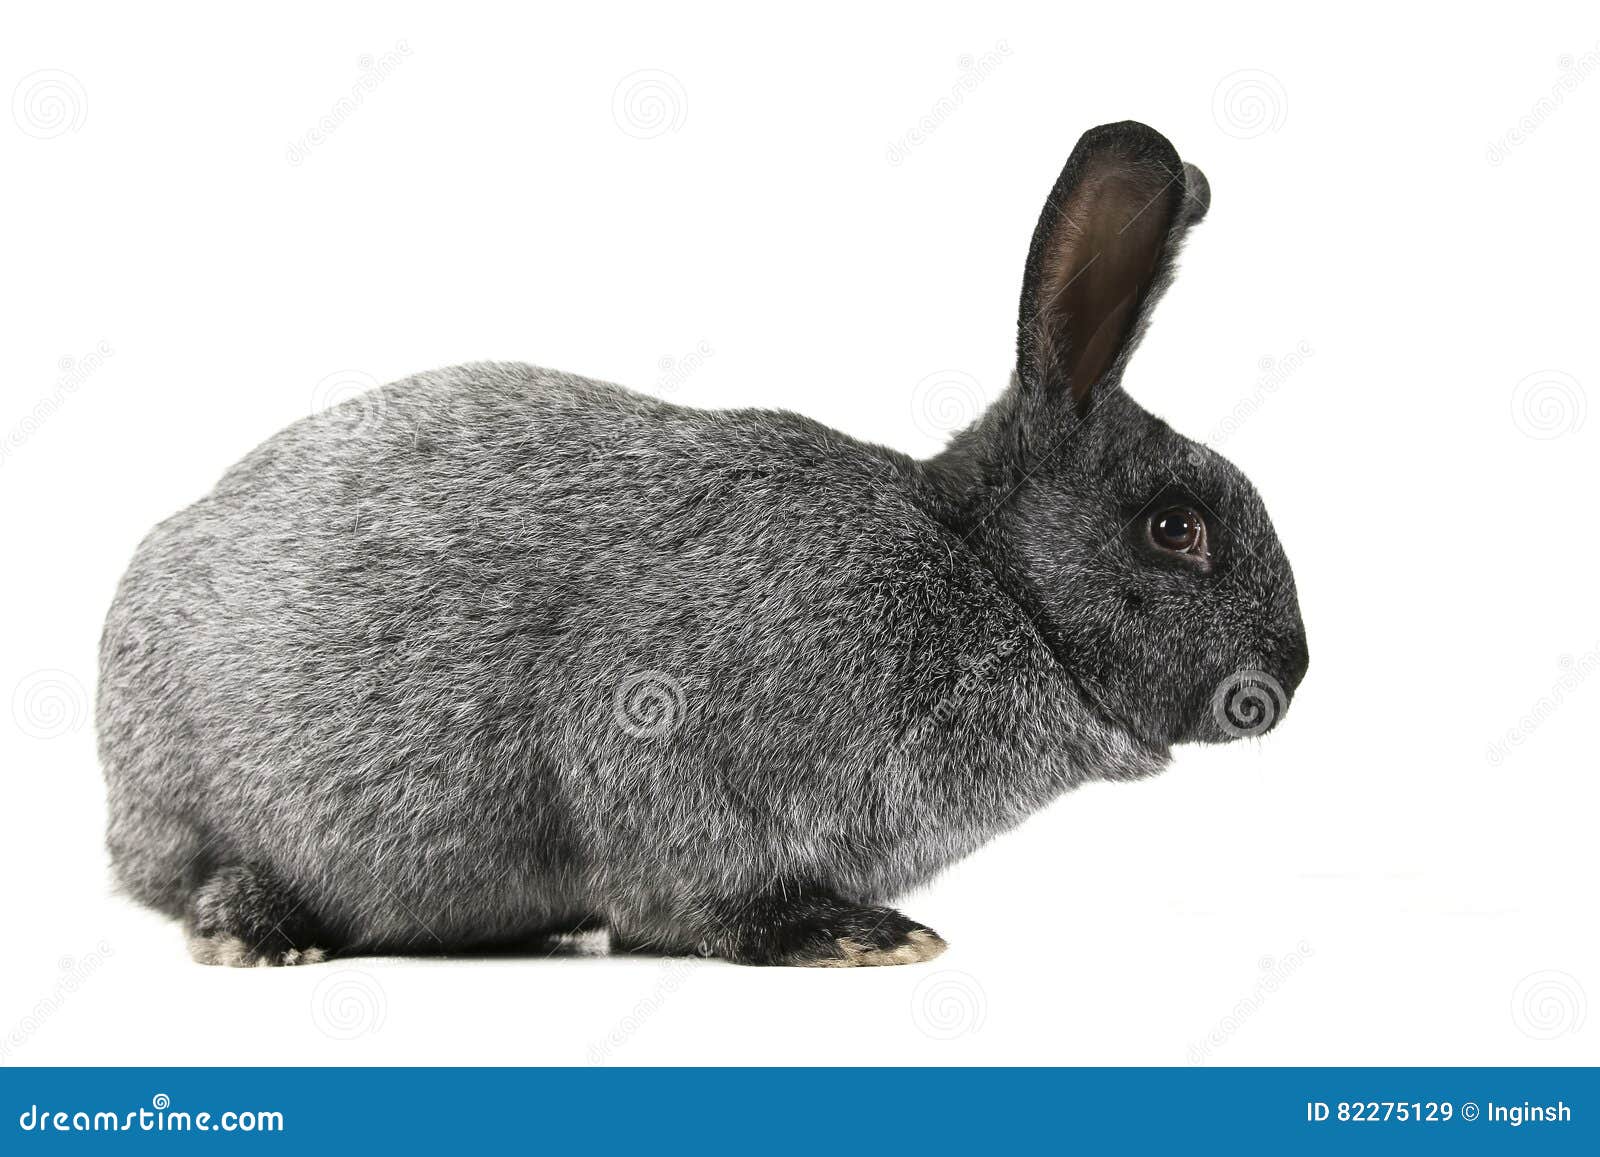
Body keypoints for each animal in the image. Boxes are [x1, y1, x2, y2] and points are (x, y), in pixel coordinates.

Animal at [97, 121, 1307, 968]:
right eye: (1175, 526)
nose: (1290, 675)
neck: (988, 575)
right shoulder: (665, 744)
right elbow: (705, 896)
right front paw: (855, 934)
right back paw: (263, 931)